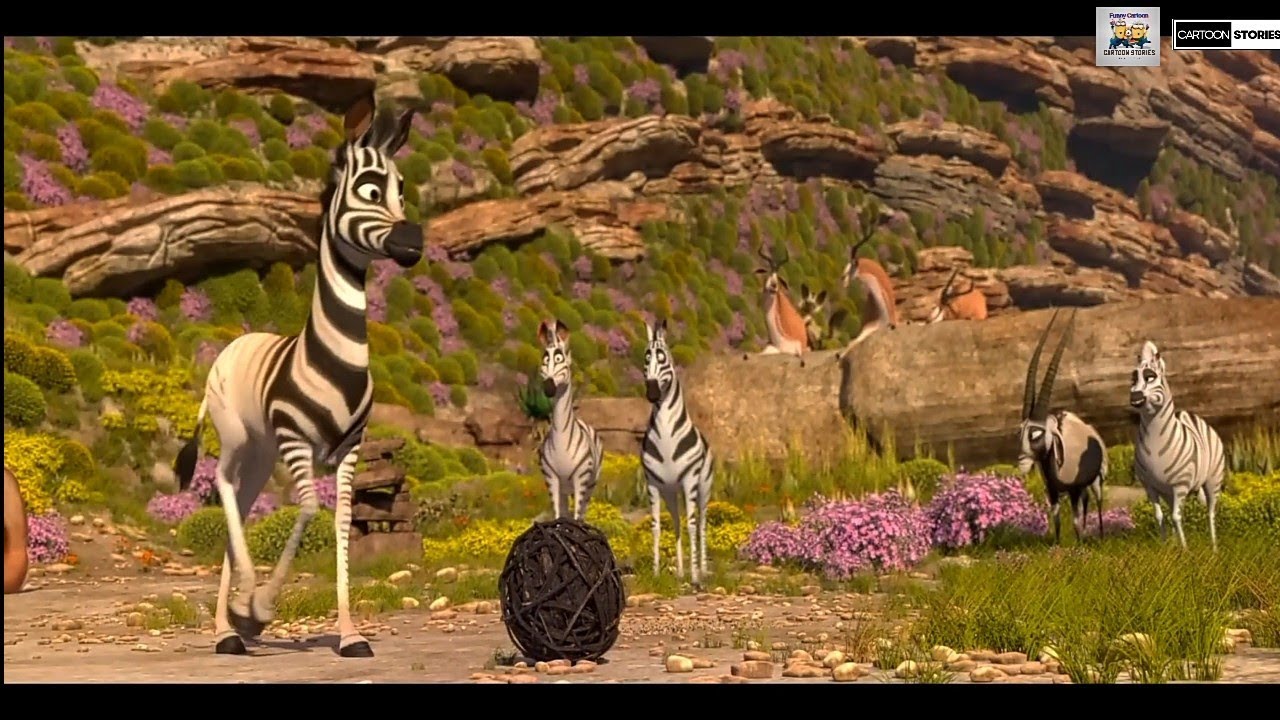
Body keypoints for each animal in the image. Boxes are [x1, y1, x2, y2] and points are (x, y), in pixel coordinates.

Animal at [172, 94, 423, 658]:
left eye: (402, 191)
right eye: (369, 190)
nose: (413, 238)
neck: (335, 359)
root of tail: (233, 344)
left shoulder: (350, 448)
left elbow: (341, 520)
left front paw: (350, 634)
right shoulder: (295, 440)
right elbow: (308, 508)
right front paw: (259, 608)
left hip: (262, 451)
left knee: (241, 505)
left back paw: (229, 627)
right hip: (240, 436)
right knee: (223, 484)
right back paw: (234, 621)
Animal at [537, 318, 603, 521]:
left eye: (560, 360)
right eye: (544, 360)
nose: (549, 387)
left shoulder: (580, 478)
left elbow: (575, 517)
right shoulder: (551, 479)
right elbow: (558, 515)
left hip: (591, 483)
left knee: (581, 513)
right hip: (564, 489)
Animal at [641, 319, 714, 586]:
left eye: (663, 359)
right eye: (646, 358)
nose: (652, 393)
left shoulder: (690, 480)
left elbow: (692, 525)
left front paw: (695, 577)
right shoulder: (652, 484)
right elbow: (656, 526)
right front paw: (655, 573)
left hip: (703, 488)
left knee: (700, 523)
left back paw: (702, 570)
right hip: (671, 492)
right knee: (676, 522)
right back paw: (681, 572)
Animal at [1016, 308, 1109, 544]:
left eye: (1036, 433)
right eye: (1020, 432)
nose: (1022, 461)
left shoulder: (1074, 489)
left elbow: (1074, 520)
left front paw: (1080, 545)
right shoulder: (1052, 490)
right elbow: (1056, 517)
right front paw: (1057, 545)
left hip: (1096, 480)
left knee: (1098, 501)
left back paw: (1100, 536)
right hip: (1082, 488)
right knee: (1086, 503)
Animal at [1130, 340, 1225, 550]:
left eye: (1150, 377)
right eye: (1132, 379)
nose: (1135, 396)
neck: (1154, 441)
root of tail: (1190, 414)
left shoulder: (1179, 484)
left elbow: (1175, 516)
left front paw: (1185, 551)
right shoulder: (1150, 486)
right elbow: (1160, 516)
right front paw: (1167, 550)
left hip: (1212, 480)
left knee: (1210, 512)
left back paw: (1214, 548)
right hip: (1169, 492)